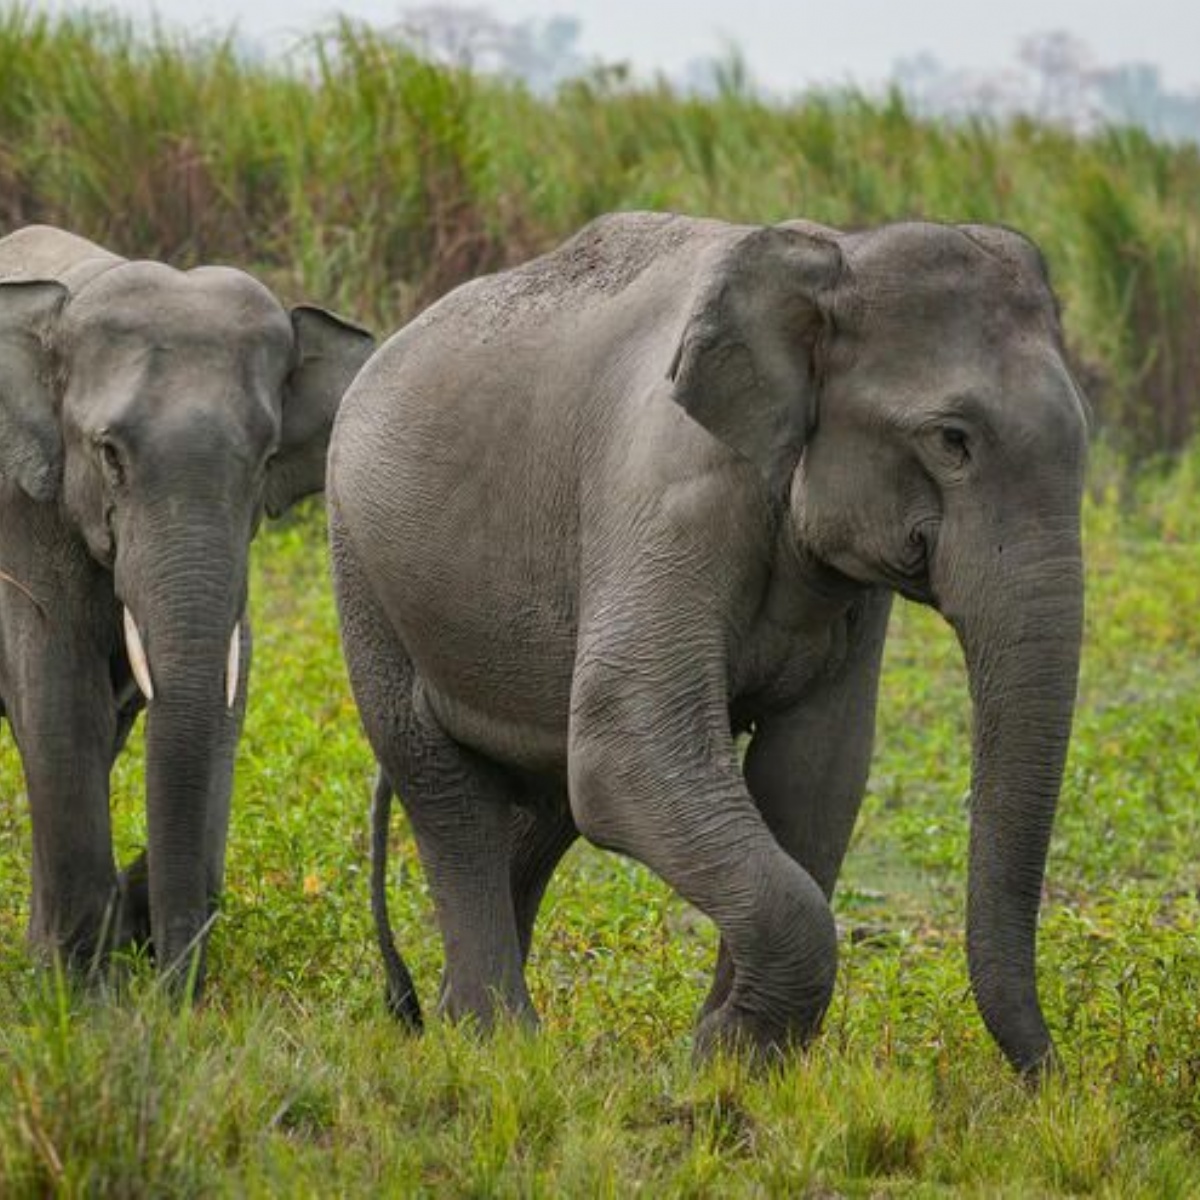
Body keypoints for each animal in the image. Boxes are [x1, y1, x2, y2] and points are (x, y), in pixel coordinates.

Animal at [0, 224, 374, 988]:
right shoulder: (24, 512)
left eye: (265, 459)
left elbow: (229, 686)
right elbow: (56, 692)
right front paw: (81, 991)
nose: (173, 990)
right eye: (109, 454)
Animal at [327, 212, 1088, 1075]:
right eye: (952, 440)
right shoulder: (669, 493)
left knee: (544, 800)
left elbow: (815, 773)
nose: (1053, 1080)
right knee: (443, 784)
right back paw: (496, 1040)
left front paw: (734, 1059)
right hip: (362, 565)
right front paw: (722, 1052)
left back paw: (468, 1022)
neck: (835, 256)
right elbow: (627, 746)